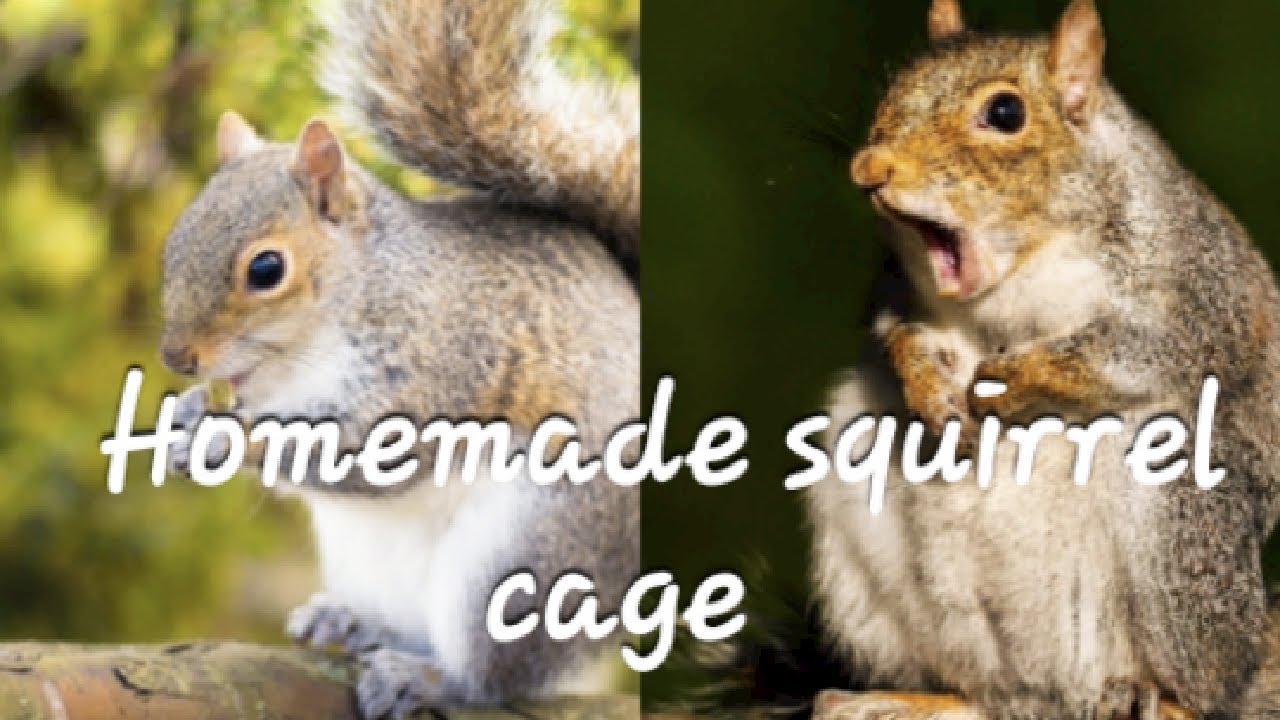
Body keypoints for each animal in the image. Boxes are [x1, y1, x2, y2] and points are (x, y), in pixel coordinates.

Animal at [156, 0, 638, 717]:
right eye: (174, 242)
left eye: (266, 269)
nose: (178, 358)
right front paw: (185, 420)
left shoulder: (444, 361)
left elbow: (363, 456)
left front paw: (220, 438)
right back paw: (354, 622)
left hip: (524, 561)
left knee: (495, 675)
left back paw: (428, 678)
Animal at [796, 1, 1280, 719]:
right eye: (893, 88)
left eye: (1005, 113)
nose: (870, 167)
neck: (1019, 265)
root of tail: (1043, 690)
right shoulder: (895, 289)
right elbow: (895, 332)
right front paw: (929, 388)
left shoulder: (1194, 292)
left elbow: (1134, 352)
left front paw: (1006, 383)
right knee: (970, 685)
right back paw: (909, 698)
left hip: (1185, 534)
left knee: (1209, 686)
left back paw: (1152, 693)